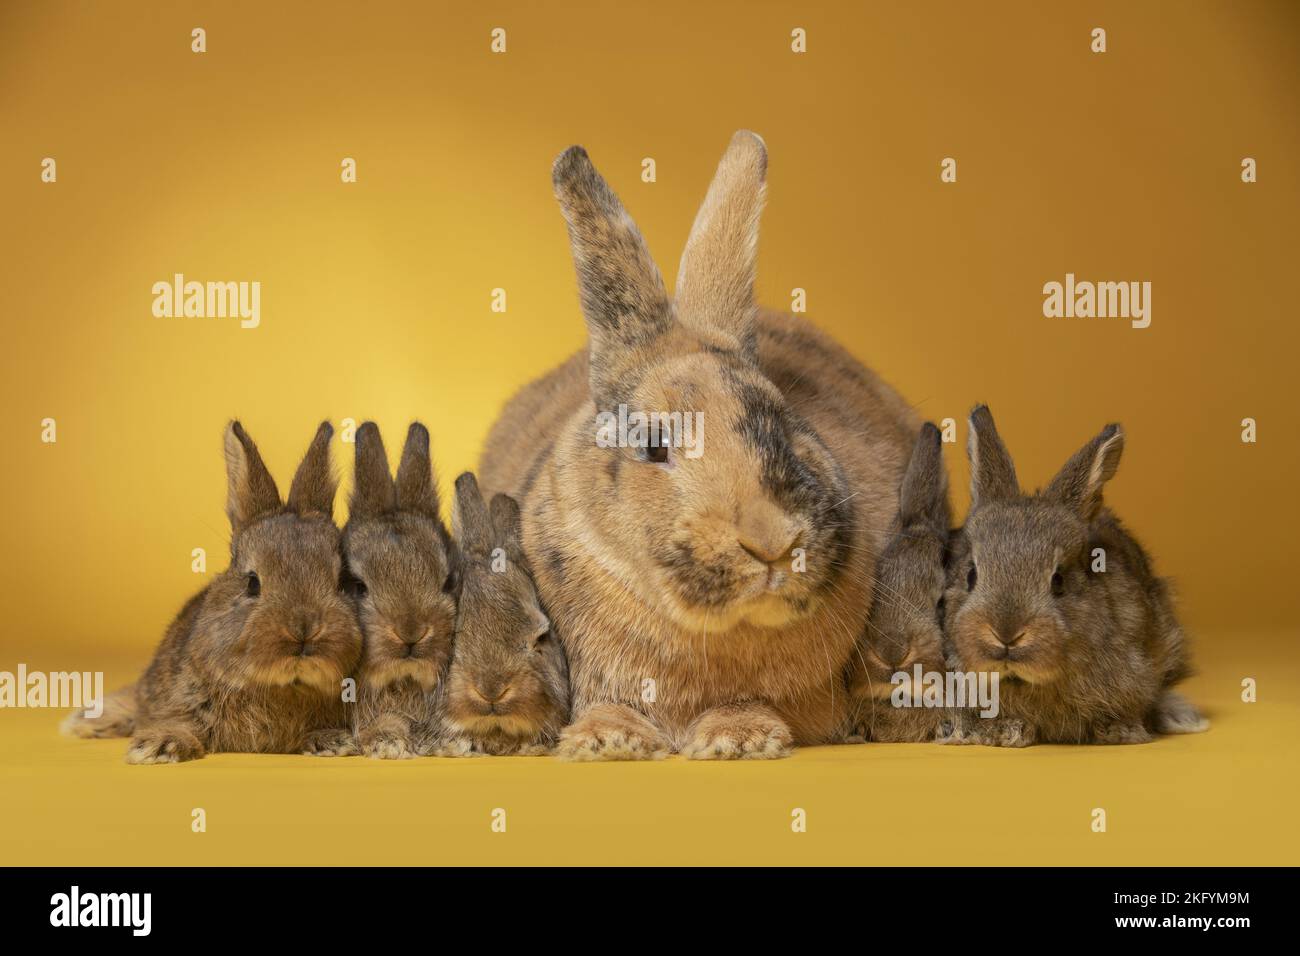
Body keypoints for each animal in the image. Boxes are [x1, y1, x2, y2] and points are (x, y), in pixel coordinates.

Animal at [62, 421, 363, 763]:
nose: (303, 628)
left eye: (342, 581)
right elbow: (180, 722)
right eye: (252, 582)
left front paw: (333, 741)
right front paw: (158, 747)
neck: (285, 687)